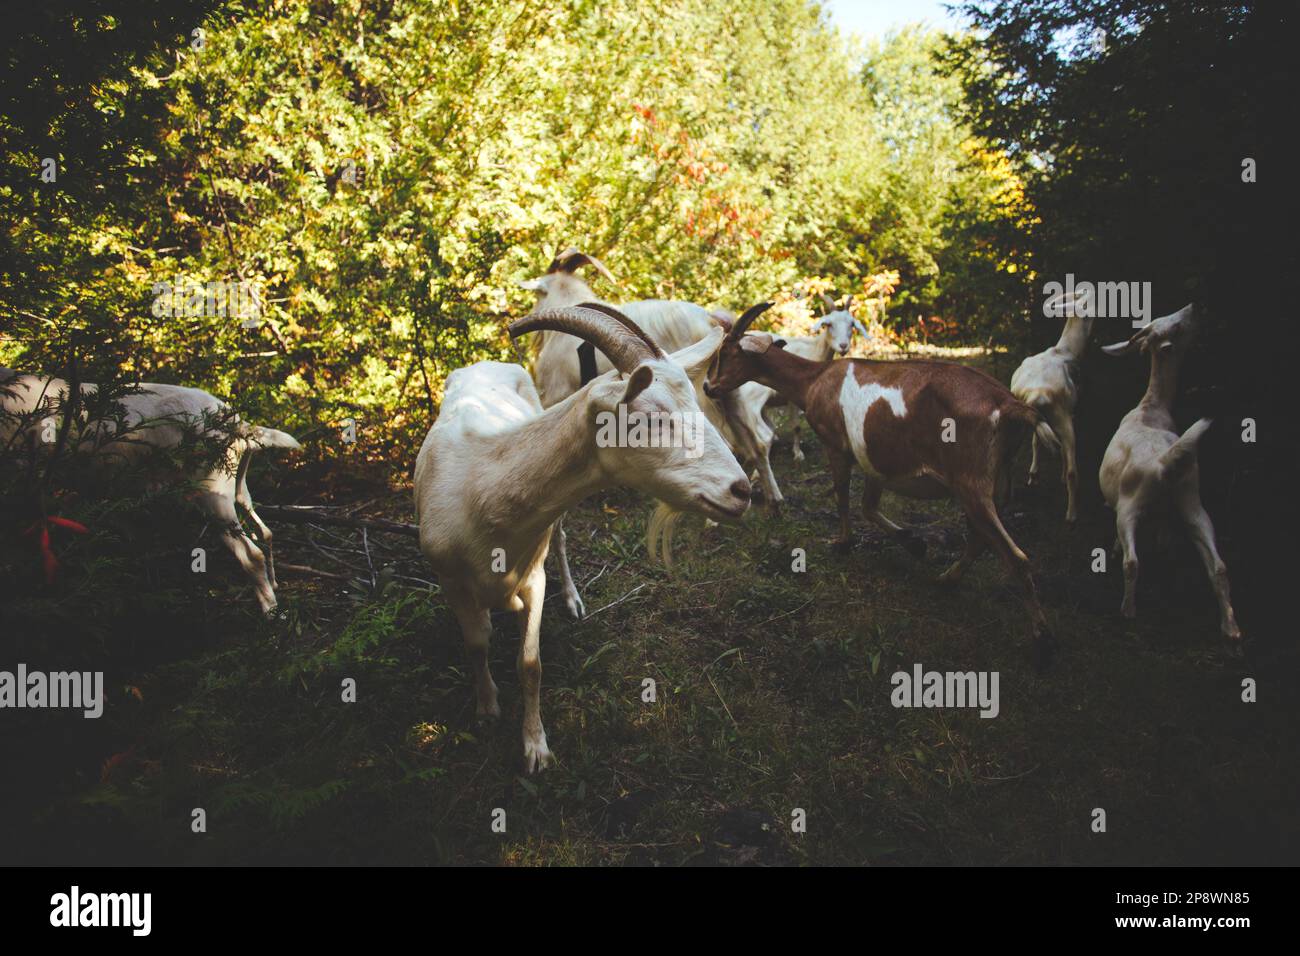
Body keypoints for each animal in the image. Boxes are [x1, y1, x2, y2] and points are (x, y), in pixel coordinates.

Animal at [0, 369, 299, 613]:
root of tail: (237, 423)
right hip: (236, 485)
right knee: (263, 530)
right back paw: (274, 585)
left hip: (212, 493)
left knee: (250, 553)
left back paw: (270, 611)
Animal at [413, 304, 750, 771]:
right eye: (650, 416)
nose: (742, 490)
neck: (482, 489)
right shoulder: (451, 580)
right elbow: (476, 644)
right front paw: (487, 708)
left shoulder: (532, 578)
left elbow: (530, 663)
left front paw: (535, 747)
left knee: (559, 538)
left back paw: (573, 599)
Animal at [704, 305, 1053, 658]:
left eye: (726, 353)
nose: (707, 387)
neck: (814, 380)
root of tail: (1009, 406)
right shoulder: (876, 461)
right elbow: (868, 507)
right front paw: (913, 542)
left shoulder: (836, 445)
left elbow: (843, 496)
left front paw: (843, 543)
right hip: (999, 481)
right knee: (981, 539)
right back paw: (947, 579)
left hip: (971, 482)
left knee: (1015, 556)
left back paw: (1041, 635)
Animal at [1010, 290, 1092, 523]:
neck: (1064, 350)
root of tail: (1038, 394)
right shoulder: (1071, 410)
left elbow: (1037, 441)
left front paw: (1033, 476)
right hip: (1062, 417)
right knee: (1073, 467)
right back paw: (1072, 515)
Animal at [1098, 304, 1241, 642]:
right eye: (1172, 326)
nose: (1194, 308)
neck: (1150, 408)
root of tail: (1164, 464)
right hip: (1192, 500)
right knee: (1219, 566)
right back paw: (1231, 628)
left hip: (1131, 505)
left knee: (1132, 561)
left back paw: (1128, 611)